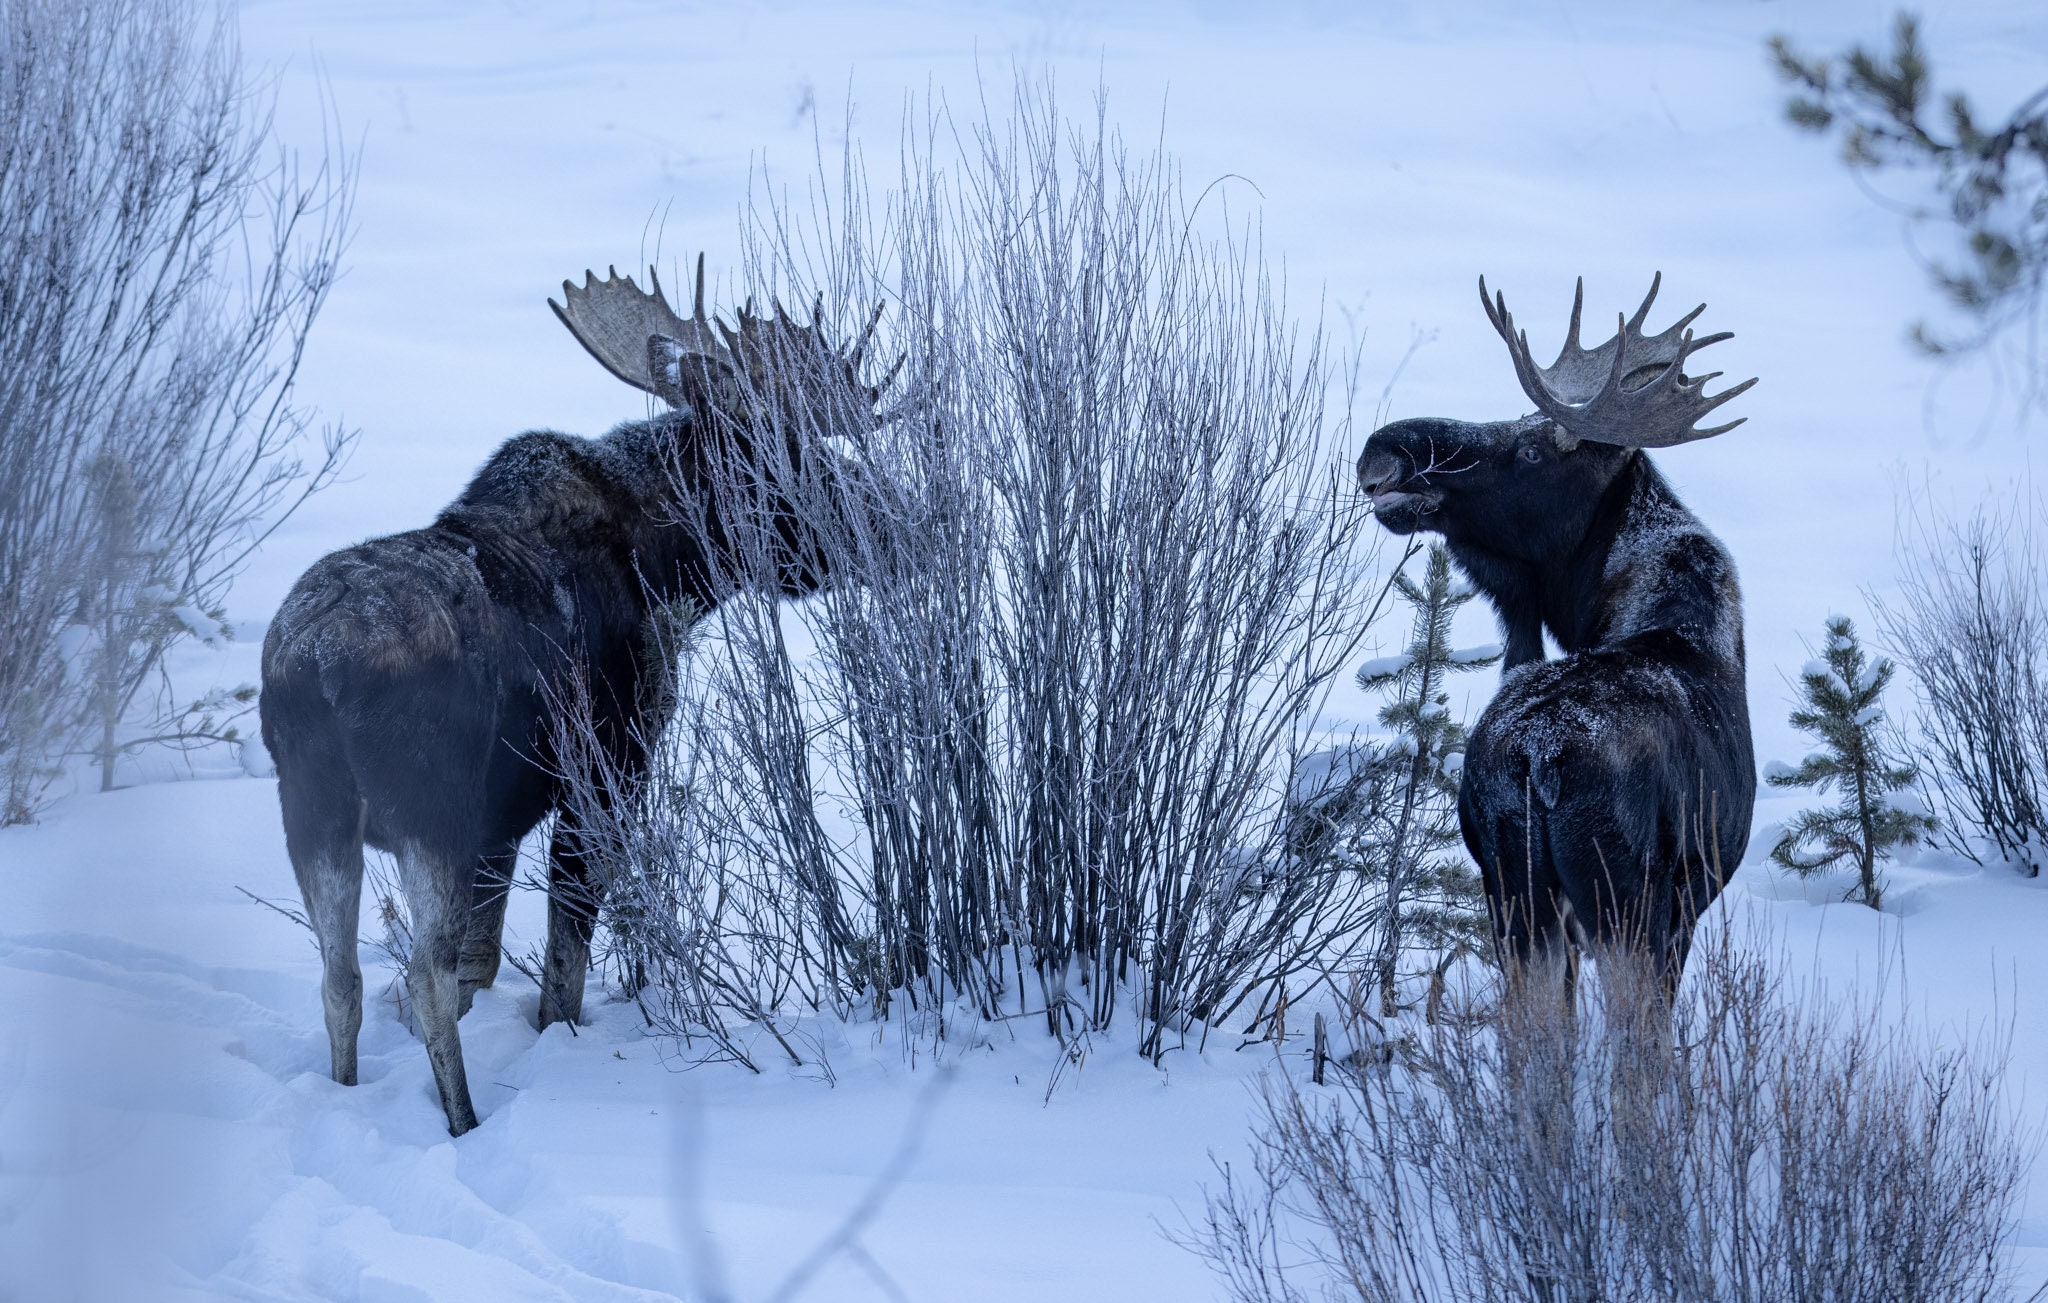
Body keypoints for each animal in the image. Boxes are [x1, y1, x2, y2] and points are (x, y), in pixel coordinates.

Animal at [260, 258, 890, 1134]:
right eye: (785, 453)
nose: (897, 520)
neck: (676, 570)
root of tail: (318, 668)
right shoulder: (604, 776)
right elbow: (563, 963)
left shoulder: (502, 820)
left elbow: (486, 958)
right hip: (431, 813)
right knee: (420, 973)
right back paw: (464, 1121)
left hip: (312, 810)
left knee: (341, 976)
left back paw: (348, 1096)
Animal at [1356, 273, 1758, 1000]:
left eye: (1532, 448)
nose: (1385, 447)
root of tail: (1539, 757)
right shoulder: (1685, 908)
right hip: (1627, 908)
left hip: (1517, 899)